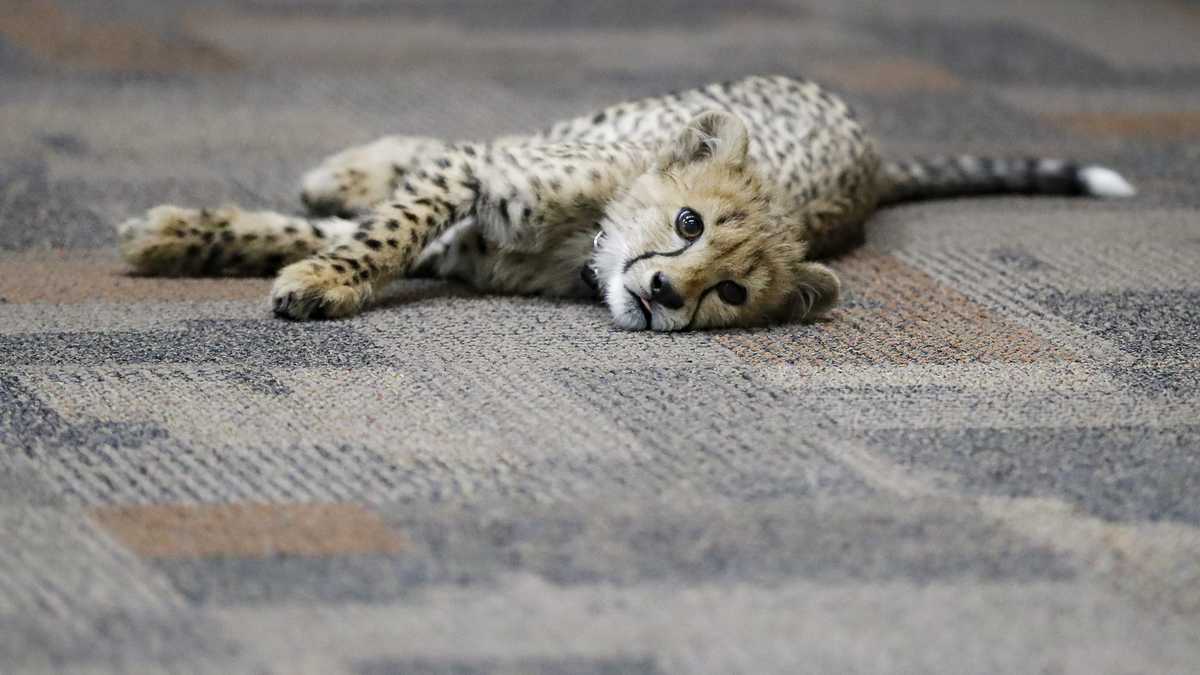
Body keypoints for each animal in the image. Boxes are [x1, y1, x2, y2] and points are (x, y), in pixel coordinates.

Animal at [117, 75, 1135, 331]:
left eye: (731, 293)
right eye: (688, 225)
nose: (666, 294)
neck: (583, 249)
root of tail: (874, 163)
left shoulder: (470, 241)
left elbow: (336, 231)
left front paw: (180, 237)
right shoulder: (477, 181)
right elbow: (382, 228)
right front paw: (322, 277)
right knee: (426, 147)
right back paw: (349, 164)